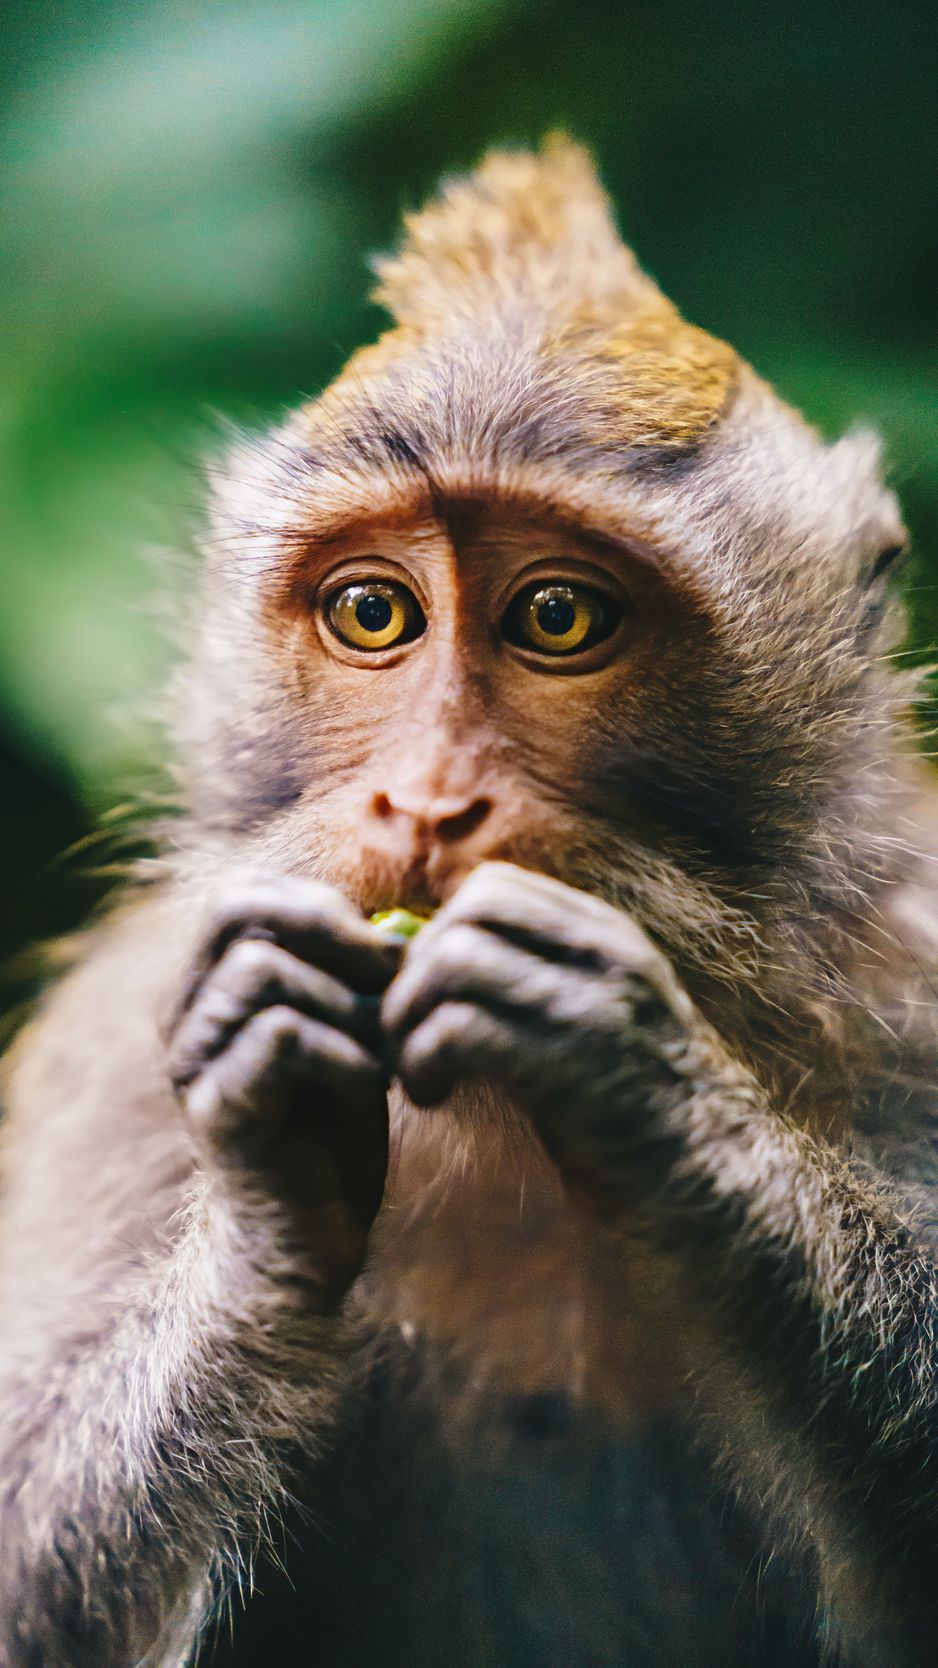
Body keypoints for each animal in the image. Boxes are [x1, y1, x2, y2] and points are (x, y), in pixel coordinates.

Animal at [1, 132, 937, 1668]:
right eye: (374, 612)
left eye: (556, 617)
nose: (429, 801)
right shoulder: (112, 1053)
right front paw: (271, 1197)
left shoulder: (916, 976)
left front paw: (647, 1088)